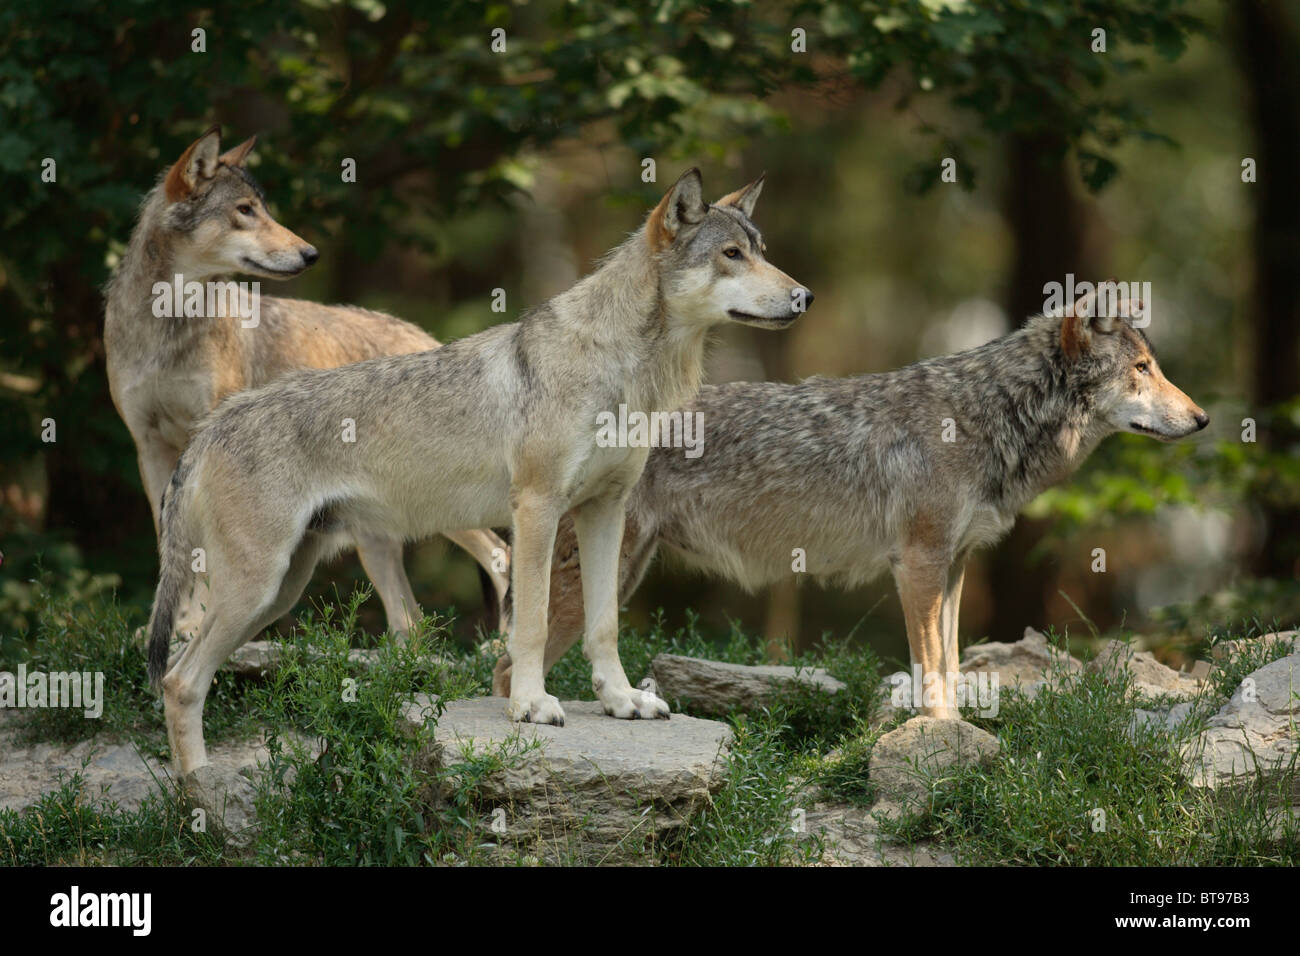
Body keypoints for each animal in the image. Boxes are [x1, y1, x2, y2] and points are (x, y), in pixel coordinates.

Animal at [104, 127, 509, 641]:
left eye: (264, 208)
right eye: (244, 210)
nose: (311, 254)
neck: (167, 327)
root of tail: (425, 337)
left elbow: (201, 562)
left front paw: (195, 625)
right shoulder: (150, 450)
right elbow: (174, 554)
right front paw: (176, 626)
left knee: (501, 554)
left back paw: (501, 647)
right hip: (374, 533)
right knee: (412, 622)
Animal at [146, 168, 814, 775]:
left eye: (761, 252)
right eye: (731, 255)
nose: (804, 296)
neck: (628, 371)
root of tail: (212, 427)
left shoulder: (606, 511)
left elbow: (604, 626)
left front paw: (622, 701)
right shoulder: (537, 510)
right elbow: (533, 625)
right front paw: (530, 707)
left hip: (278, 591)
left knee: (184, 680)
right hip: (258, 587)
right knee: (179, 682)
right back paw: (202, 802)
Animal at [492, 294, 1209, 717]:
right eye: (1142, 369)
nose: (1204, 419)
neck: (984, 419)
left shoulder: (953, 568)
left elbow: (950, 660)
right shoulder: (916, 564)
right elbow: (930, 669)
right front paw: (940, 737)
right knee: (506, 672)